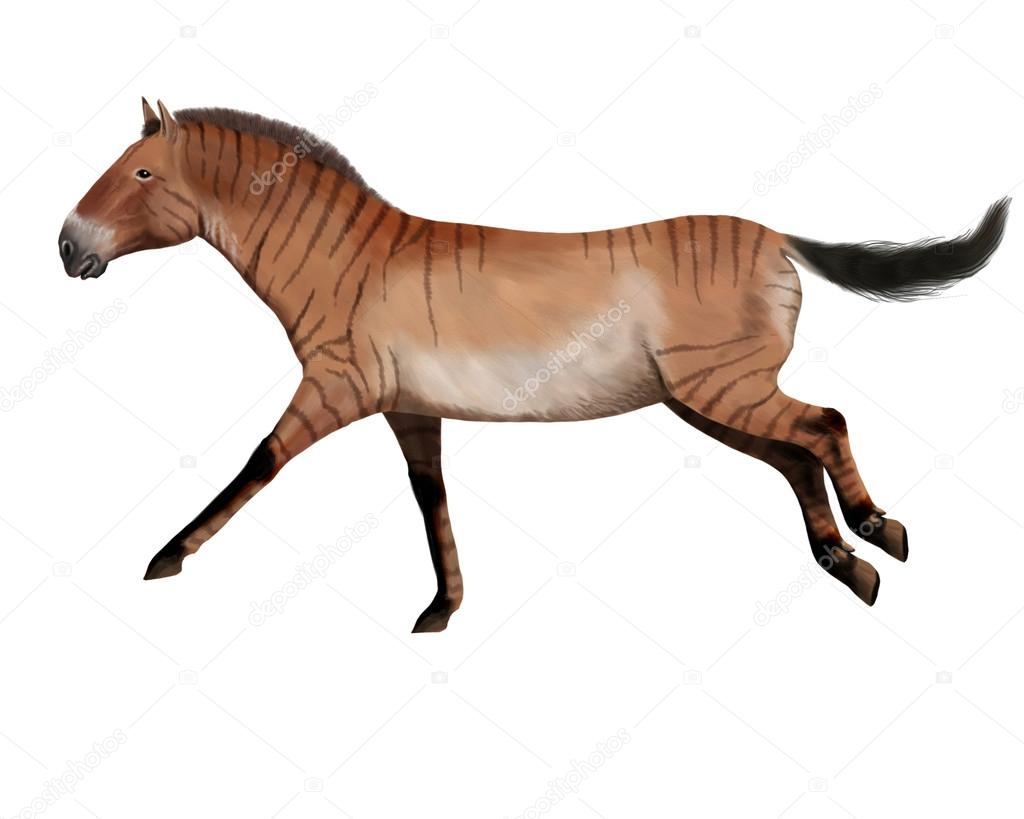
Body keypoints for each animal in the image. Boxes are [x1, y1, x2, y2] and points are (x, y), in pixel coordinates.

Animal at [58, 98, 1009, 631]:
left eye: (140, 173)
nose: (68, 248)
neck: (348, 264)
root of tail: (778, 237)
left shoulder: (335, 390)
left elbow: (255, 464)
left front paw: (166, 557)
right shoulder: (408, 408)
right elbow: (430, 500)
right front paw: (441, 608)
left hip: (721, 387)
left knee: (824, 426)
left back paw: (879, 532)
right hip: (705, 397)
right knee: (796, 456)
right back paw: (849, 565)